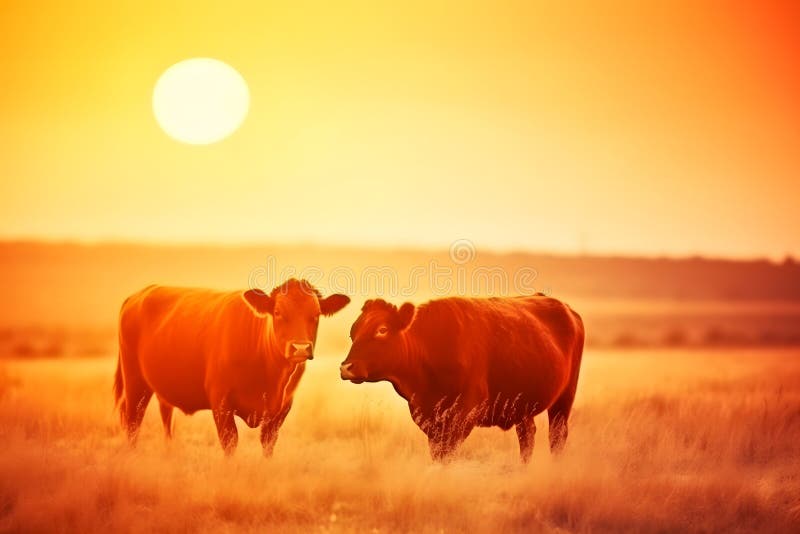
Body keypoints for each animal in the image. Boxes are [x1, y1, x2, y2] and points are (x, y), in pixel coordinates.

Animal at [114, 279, 350, 455]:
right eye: (278, 312)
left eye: (316, 314)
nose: (300, 348)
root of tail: (138, 295)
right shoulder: (221, 402)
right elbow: (230, 443)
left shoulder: (281, 408)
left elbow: (268, 445)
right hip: (135, 382)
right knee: (132, 422)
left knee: (165, 415)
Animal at [340, 295, 584, 462]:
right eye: (353, 333)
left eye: (382, 330)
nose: (346, 368)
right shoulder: (429, 419)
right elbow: (438, 455)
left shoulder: (463, 415)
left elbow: (448, 455)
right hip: (523, 407)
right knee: (527, 437)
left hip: (564, 399)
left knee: (557, 437)